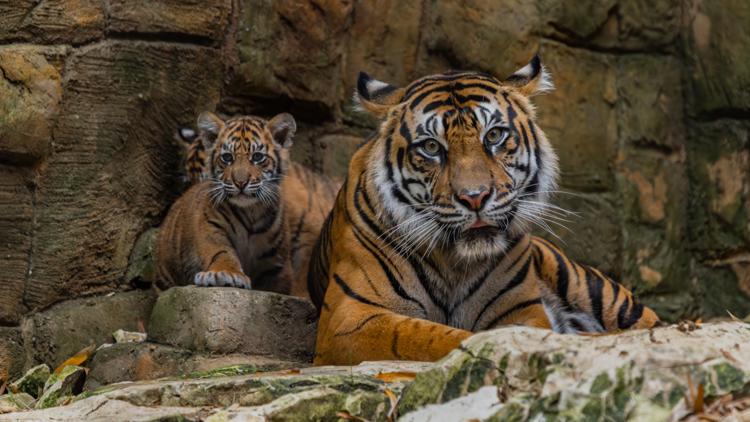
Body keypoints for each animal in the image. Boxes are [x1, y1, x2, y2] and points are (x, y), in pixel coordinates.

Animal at [157, 112, 339, 298]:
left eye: (257, 157)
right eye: (227, 158)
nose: (240, 182)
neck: (252, 209)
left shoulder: (308, 238)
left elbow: (302, 277)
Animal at [307, 55, 660, 365]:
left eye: (494, 135)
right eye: (431, 147)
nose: (475, 198)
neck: (454, 264)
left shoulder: (524, 310)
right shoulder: (349, 318)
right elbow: (433, 335)